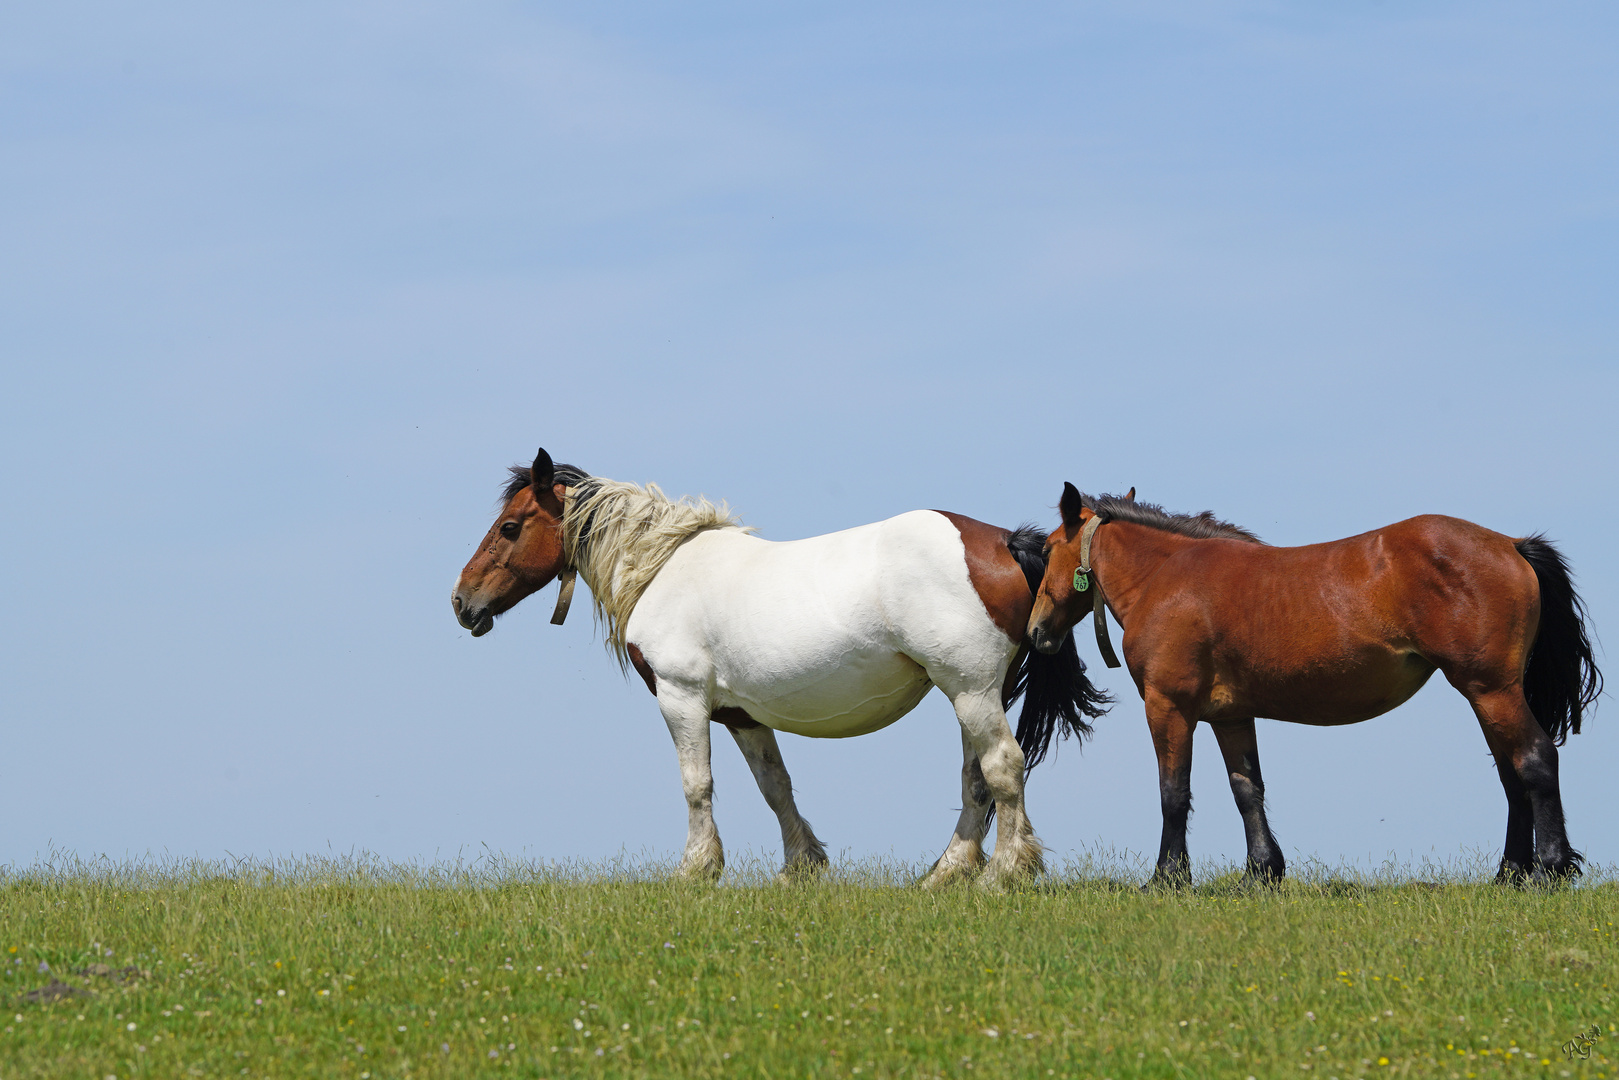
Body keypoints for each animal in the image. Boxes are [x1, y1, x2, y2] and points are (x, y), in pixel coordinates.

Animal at [451, 448, 1109, 887]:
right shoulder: (743, 715)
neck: (664, 567)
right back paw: (944, 876)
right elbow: (775, 786)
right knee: (976, 780)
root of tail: (1004, 542)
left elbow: (696, 785)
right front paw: (801, 868)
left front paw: (695, 871)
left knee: (1003, 769)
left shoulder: (682, 699)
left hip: (970, 689)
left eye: (510, 526)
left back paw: (1004, 873)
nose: (462, 602)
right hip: (974, 693)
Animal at [1026, 483, 1601, 887]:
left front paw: (1167, 878)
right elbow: (1247, 789)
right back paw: (1509, 874)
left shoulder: (1169, 707)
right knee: (1511, 776)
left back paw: (1549, 868)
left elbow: (1174, 792)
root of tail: (1511, 545)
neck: (1166, 579)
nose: (1036, 631)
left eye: (1049, 549)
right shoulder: (1230, 715)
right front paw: (1262, 872)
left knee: (1534, 760)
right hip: (1489, 696)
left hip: (1491, 690)